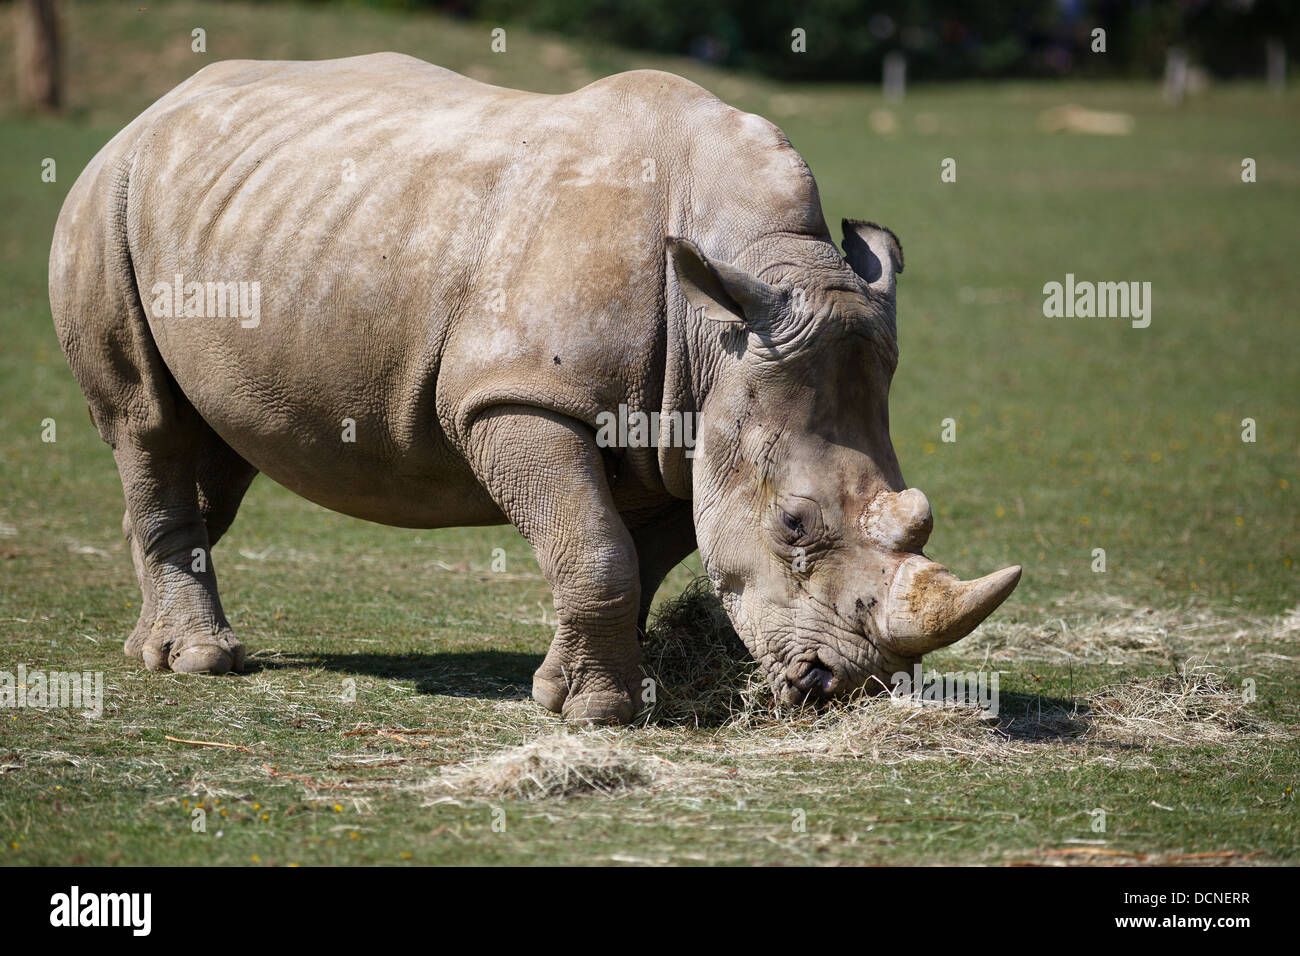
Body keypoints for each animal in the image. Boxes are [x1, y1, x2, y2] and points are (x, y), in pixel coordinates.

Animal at [49, 54, 1020, 724]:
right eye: (793, 526)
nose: (843, 688)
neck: (728, 317)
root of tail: (146, 117)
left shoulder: (683, 432)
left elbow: (642, 554)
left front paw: (567, 690)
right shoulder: (514, 396)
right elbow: (596, 549)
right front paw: (602, 714)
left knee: (217, 445)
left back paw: (151, 645)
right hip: (104, 202)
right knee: (147, 421)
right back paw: (199, 662)